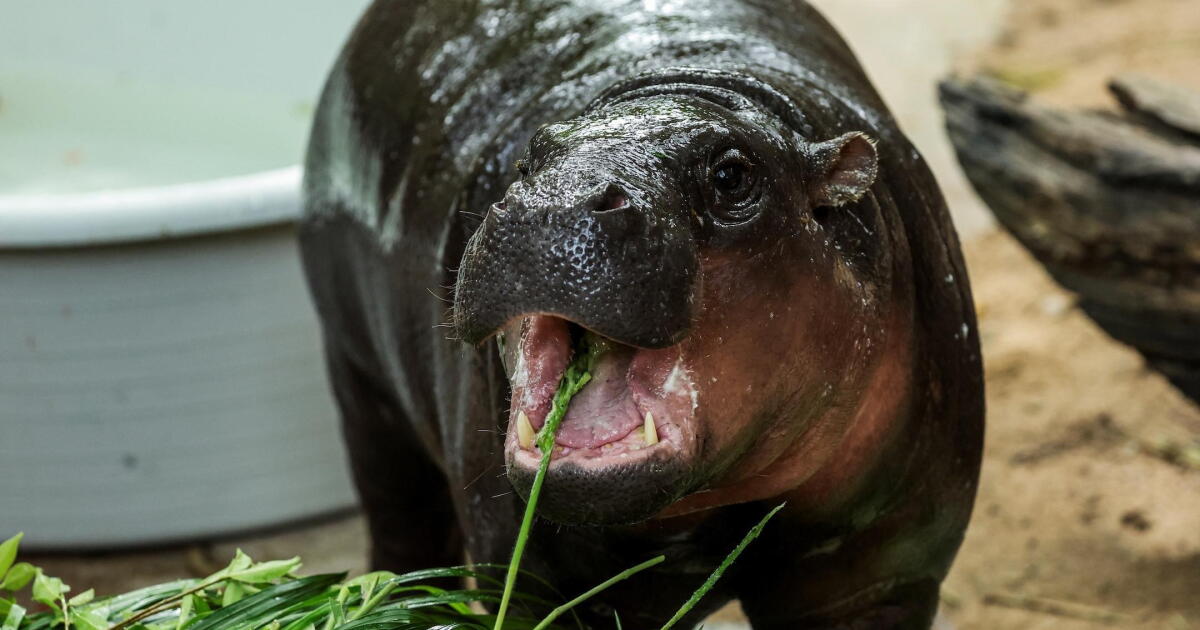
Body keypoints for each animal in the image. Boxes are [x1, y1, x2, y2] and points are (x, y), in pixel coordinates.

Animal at [299, 1, 984, 628]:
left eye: (732, 174)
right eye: (530, 157)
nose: (554, 200)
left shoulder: (878, 576)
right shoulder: (538, 586)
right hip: (360, 383)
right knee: (401, 523)